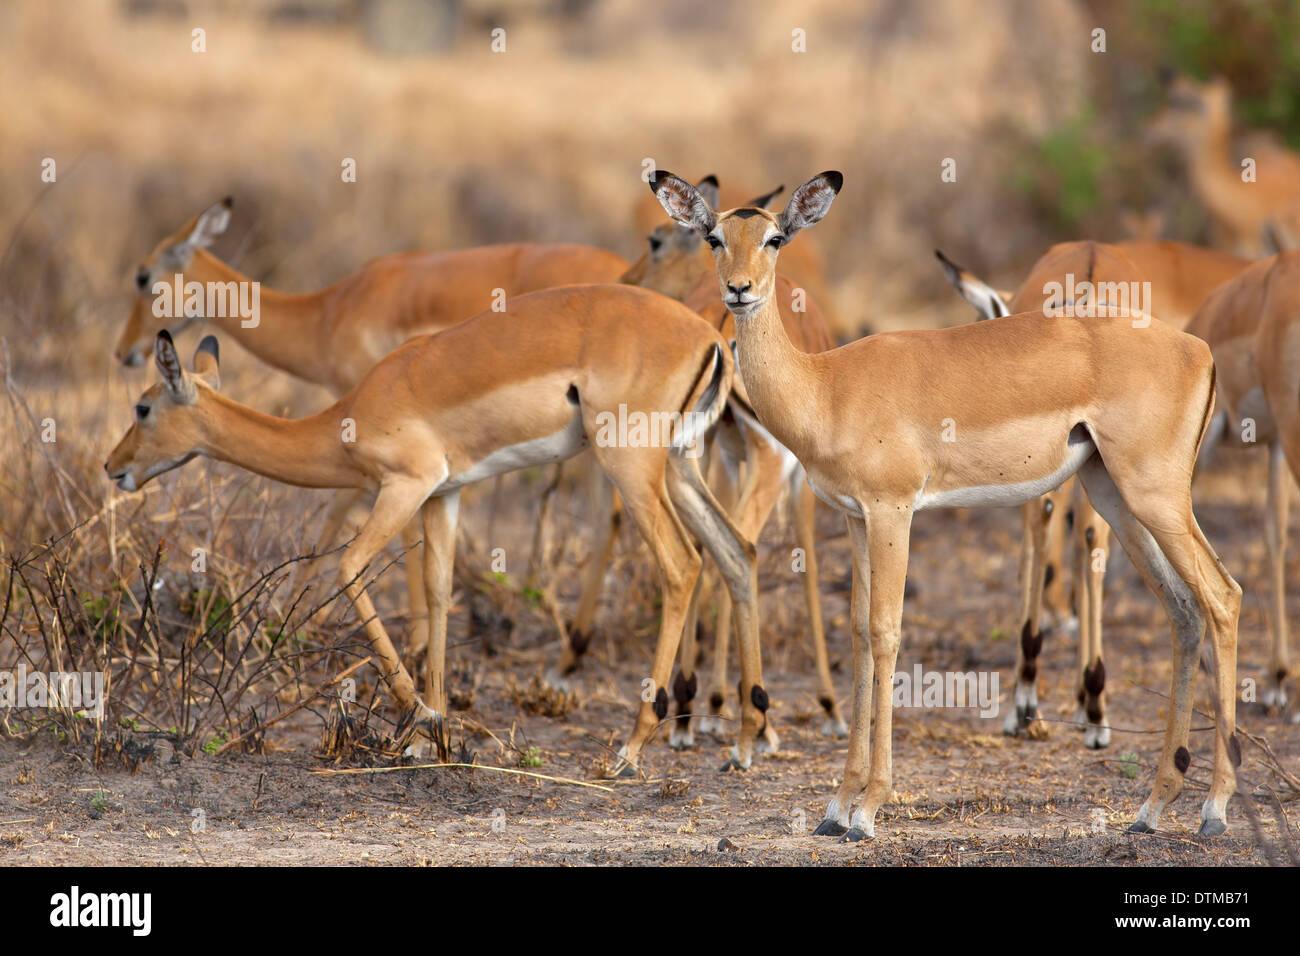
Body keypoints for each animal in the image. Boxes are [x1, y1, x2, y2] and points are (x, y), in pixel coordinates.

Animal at [105, 282, 774, 774]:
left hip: (631, 466)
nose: (114, 467)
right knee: (737, 551)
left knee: (682, 564)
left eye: (143, 406)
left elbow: (349, 567)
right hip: (681, 464)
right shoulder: (444, 495)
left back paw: (632, 748)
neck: (348, 416)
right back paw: (744, 740)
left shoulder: (405, 486)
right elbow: (437, 594)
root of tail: (710, 336)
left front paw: (422, 719)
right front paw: (435, 738)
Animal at [117, 198, 629, 672]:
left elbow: (350, 520)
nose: (124, 352)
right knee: (613, 518)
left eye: (143, 276)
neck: (329, 312)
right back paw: (574, 652)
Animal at [622, 177, 847, 740]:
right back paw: (752, 718)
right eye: (714, 239)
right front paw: (828, 704)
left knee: (712, 548)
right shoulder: (796, 477)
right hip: (764, 463)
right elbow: (809, 563)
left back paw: (689, 708)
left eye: (657, 241)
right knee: (743, 543)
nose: (627, 282)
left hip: (691, 453)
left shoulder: (725, 453)